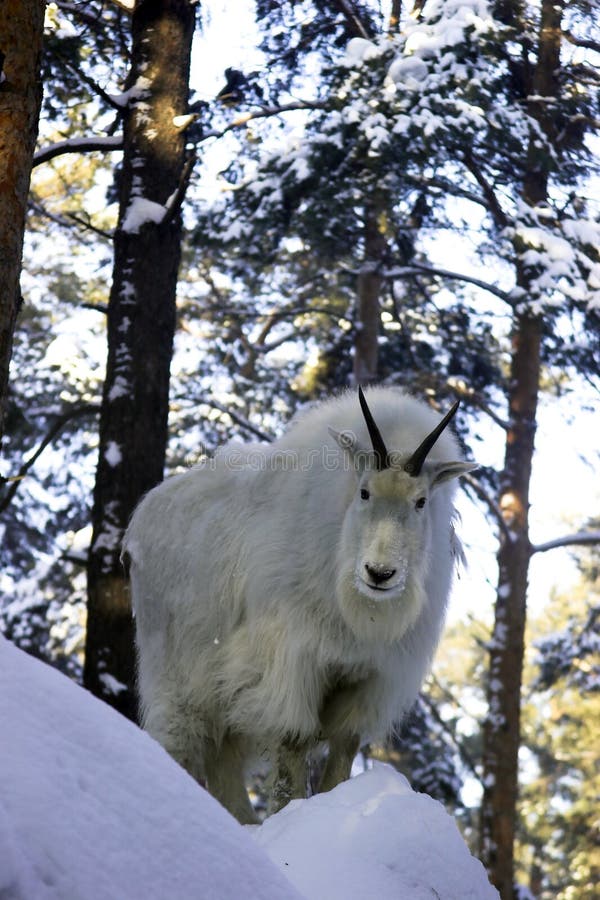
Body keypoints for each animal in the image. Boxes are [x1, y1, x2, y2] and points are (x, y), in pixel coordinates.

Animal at [124, 387, 476, 823]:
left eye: (422, 501)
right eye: (364, 492)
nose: (379, 573)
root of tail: (142, 518)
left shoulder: (368, 678)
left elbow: (343, 751)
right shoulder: (292, 663)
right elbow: (293, 750)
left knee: (223, 757)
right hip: (177, 676)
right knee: (183, 743)